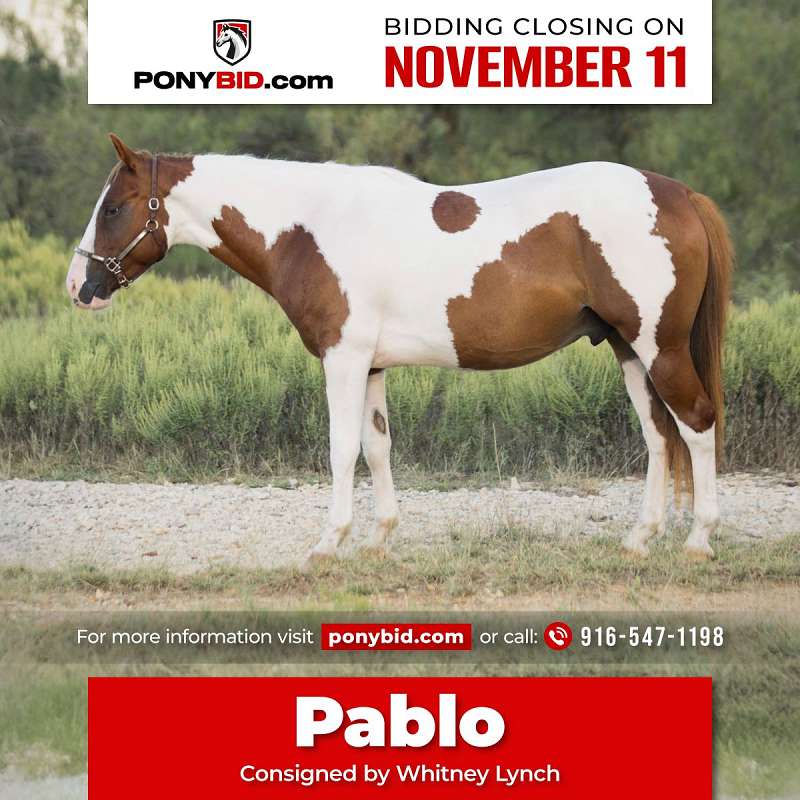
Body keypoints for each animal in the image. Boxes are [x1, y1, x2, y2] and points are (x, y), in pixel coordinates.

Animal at [66, 134, 733, 563]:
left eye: (115, 207)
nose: (79, 287)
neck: (308, 229)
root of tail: (677, 194)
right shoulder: (371, 365)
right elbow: (377, 447)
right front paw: (379, 537)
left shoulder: (342, 358)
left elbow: (340, 451)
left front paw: (328, 543)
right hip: (629, 350)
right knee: (658, 436)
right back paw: (641, 539)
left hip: (660, 348)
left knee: (697, 424)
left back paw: (699, 541)